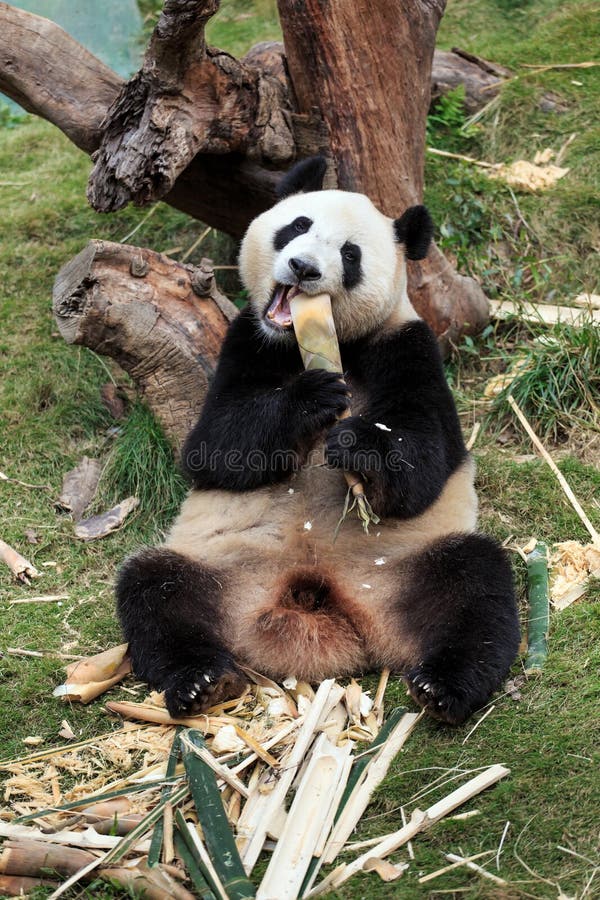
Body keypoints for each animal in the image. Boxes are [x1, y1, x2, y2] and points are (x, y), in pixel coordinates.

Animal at [116, 156, 520, 726]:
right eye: (297, 226)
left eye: (350, 255)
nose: (304, 267)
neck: (314, 344)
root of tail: (313, 601)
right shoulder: (248, 339)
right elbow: (212, 447)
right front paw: (311, 399)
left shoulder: (407, 345)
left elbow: (425, 462)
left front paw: (356, 444)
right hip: (223, 568)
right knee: (155, 589)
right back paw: (201, 681)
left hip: (400, 568)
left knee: (475, 585)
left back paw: (444, 686)